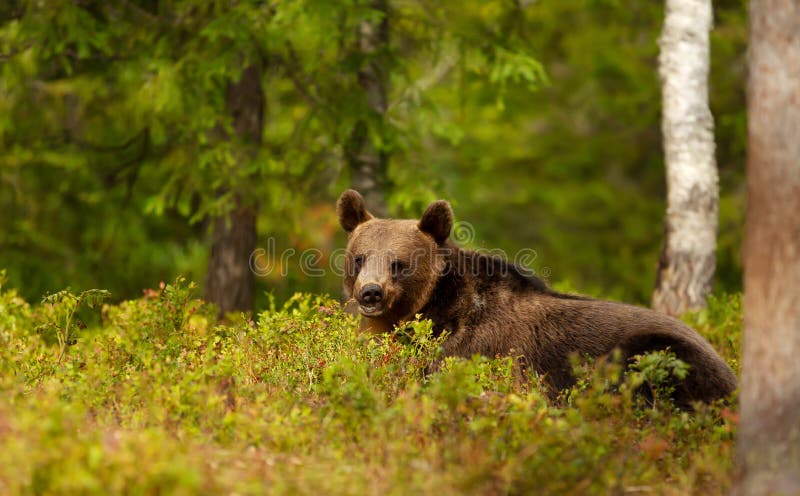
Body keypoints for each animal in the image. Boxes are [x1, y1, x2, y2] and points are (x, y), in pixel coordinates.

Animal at [336, 189, 737, 405]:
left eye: (399, 263)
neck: (435, 307)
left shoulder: (475, 346)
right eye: (359, 258)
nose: (370, 293)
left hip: (661, 354)